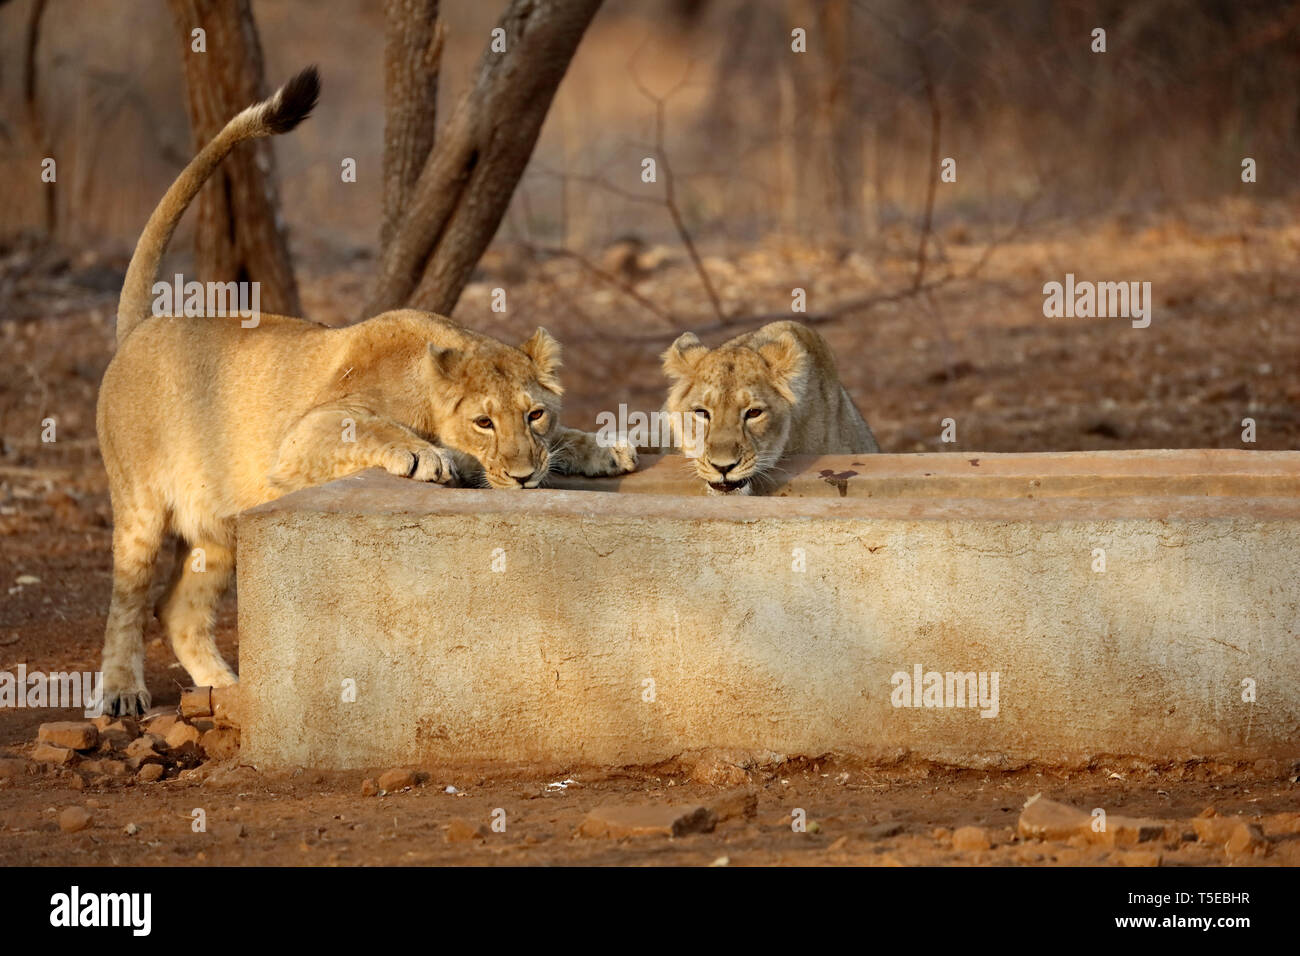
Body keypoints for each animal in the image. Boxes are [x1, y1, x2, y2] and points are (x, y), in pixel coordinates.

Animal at [97, 67, 634, 715]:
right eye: (483, 422)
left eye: (534, 416)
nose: (526, 477)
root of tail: (141, 328)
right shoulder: (303, 437)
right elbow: (383, 429)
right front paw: (434, 457)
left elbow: (569, 438)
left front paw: (604, 446)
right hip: (141, 508)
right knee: (129, 602)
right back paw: (122, 692)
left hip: (221, 523)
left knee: (178, 610)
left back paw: (229, 689)